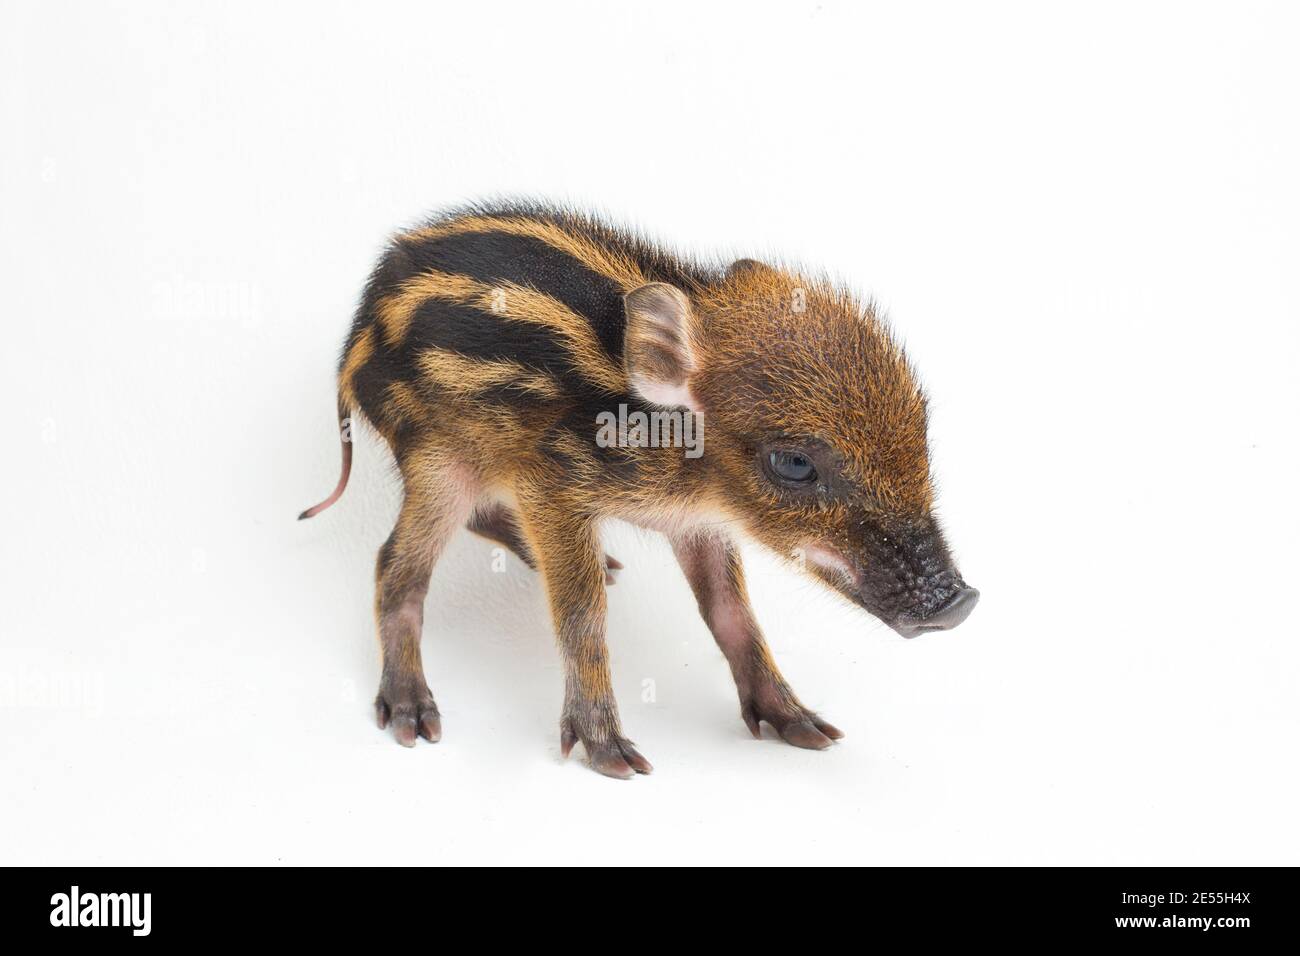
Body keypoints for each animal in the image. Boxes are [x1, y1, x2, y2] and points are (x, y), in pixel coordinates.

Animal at [300, 201, 978, 778]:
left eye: (922, 426)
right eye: (793, 463)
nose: (959, 602)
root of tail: (354, 341)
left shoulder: (696, 523)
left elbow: (732, 614)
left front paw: (803, 726)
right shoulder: (553, 484)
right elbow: (583, 617)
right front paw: (610, 753)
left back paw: (606, 564)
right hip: (439, 458)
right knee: (397, 566)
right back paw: (411, 713)